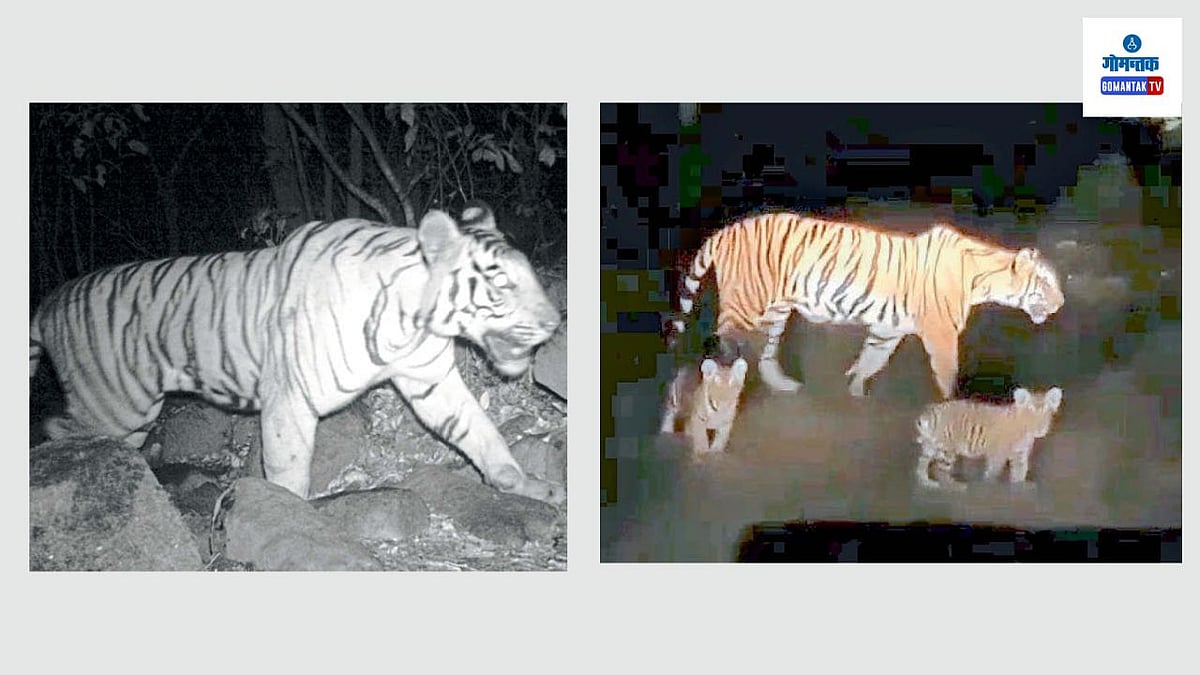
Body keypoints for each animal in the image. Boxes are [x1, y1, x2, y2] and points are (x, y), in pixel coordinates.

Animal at [29, 202, 565, 506]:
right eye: (501, 281)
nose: (553, 322)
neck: (409, 325)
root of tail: (51, 300)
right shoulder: (289, 399)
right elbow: (287, 471)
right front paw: (288, 516)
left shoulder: (429, 381)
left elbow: (480, 431)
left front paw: (525, 485)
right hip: (118, 410)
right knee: (60, 429)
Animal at [666, 213, 1064, 399]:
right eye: (1046, 283)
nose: (1060, 303)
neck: (985, 279)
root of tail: (726, 230)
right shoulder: (941, 335)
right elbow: (946, 373)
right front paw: (950, 403)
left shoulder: (888, 328)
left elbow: (872, 358)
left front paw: (855, 388)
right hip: (745, 303)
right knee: (724, 339)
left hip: (775, 311)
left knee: (765, 351)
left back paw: (782, 384)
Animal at [914, 386, 1063, 490]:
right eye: (1030, 413)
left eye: (1046, 413)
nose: (1041, 428)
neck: (1027, 432)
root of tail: (930, 412)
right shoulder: (998, 453)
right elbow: (993, 471)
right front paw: (990, 485)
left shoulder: (1020, 453)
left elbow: (1020, 470)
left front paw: (1019, 485)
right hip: (947, 450)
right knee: (939, 469)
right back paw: (955, 486)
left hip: (931, 446)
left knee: (922, 463)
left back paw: (926, 483)